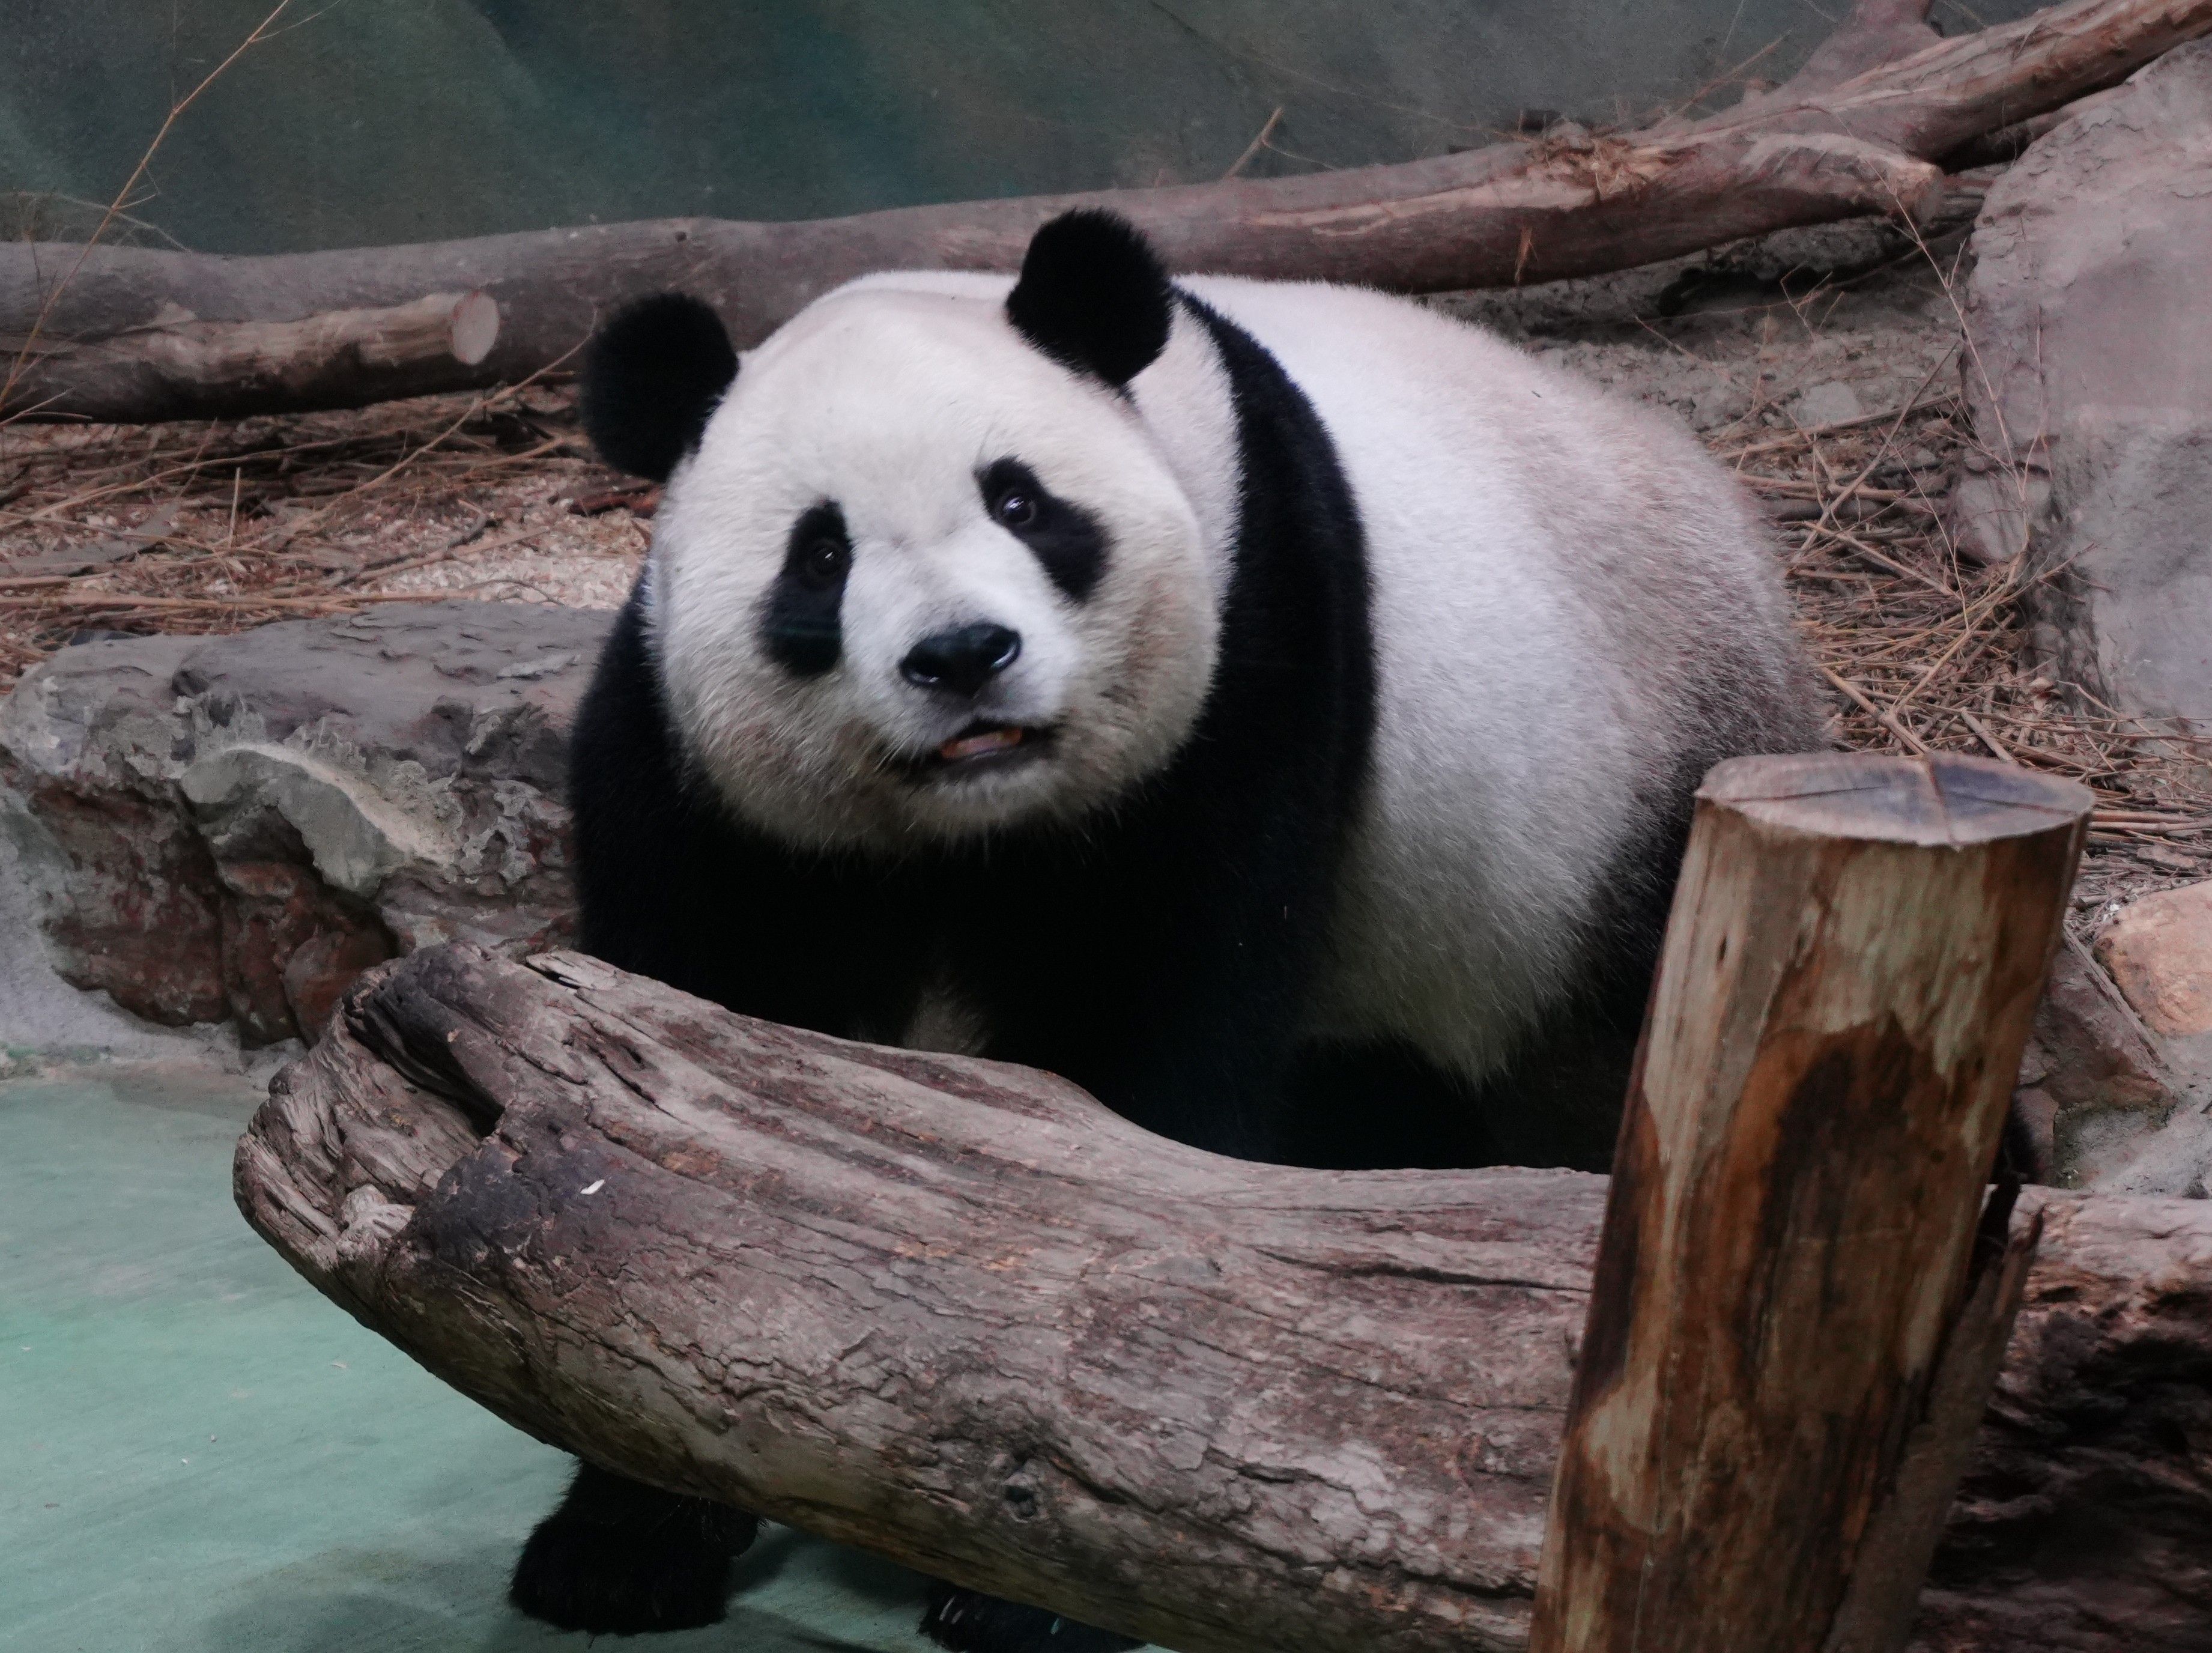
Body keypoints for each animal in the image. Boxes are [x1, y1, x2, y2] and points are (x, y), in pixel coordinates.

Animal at [511, 209, 1826, 1650]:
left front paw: (1028, 1580)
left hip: (1630, 784)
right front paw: (624, 1537)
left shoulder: (1243, 667)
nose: (961, 655)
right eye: (821, 553)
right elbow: (670, 1090)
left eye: (1021, 503)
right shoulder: (704, 785)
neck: (966, 829)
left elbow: (1156, 1047)